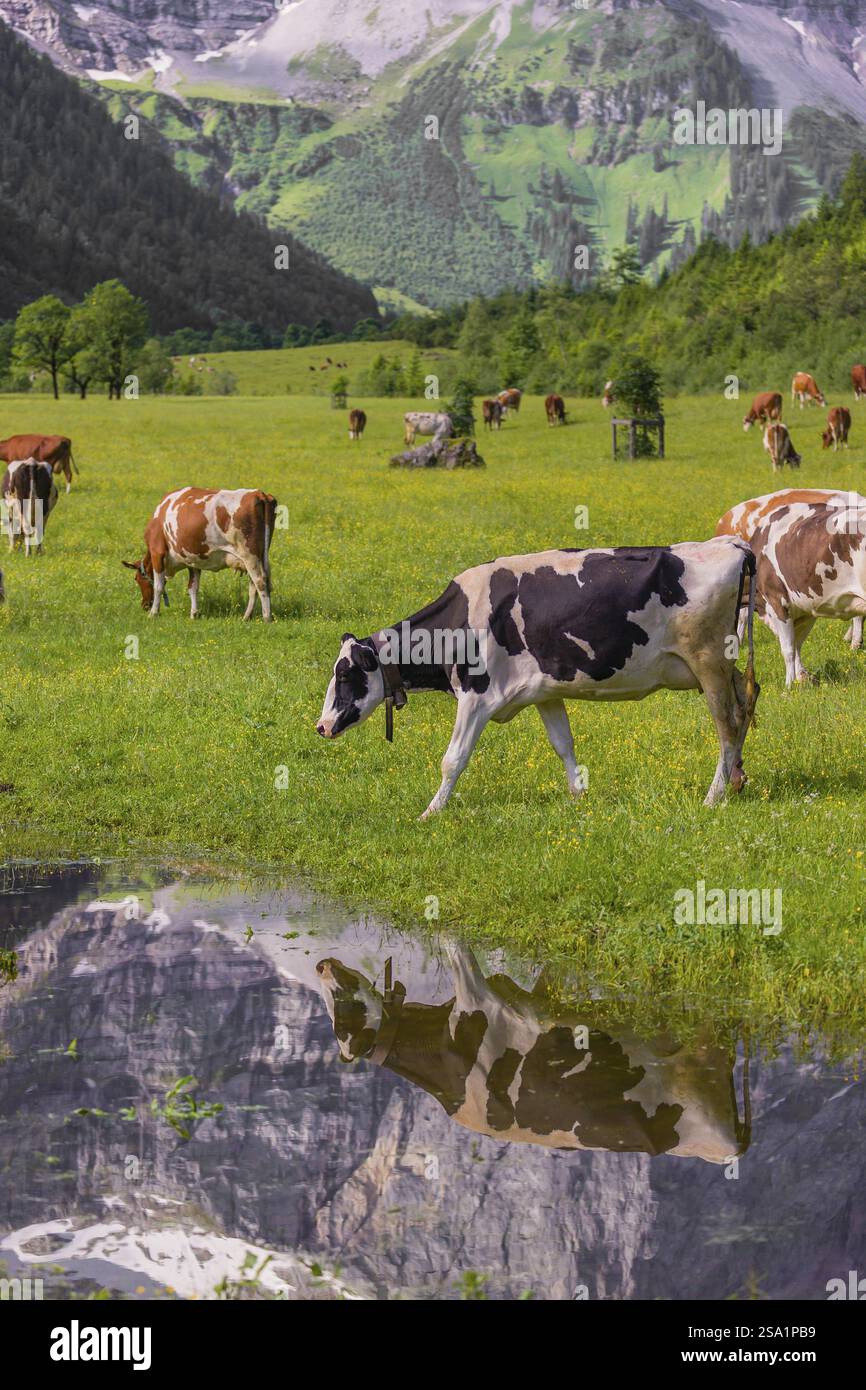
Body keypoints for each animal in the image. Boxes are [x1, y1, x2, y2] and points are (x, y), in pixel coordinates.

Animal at [122, 487, 276, 621]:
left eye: (137, 579)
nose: (144, 605)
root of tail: (259, 493)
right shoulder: (193, 560)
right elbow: (193, 587)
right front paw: (194, 614)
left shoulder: (157, 552)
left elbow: (158, 586)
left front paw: (153, 613)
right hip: (260, 556)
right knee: (255, 585)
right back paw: (246, 617)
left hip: (249, 555)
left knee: (260, 582)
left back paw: (266, 617)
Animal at [317, 540, 759, 816]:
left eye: (346, 674)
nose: (321, 726)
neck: (462, 620)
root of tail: (733, 546)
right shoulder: (545, 692)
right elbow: (563, 744)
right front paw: (578, 796)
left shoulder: (476, 697)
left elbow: (452, 759)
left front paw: (431, 811)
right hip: (724, 667)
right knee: (747, 701)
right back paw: (737, 780)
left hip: (709, 662)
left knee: (727, 725)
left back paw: (714, 795)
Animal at [731, 497, 866, 685]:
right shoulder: (806, 608)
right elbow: (797, 645)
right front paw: (802, 677)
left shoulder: (776, 601)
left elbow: (787, 648)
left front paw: (789, 685)